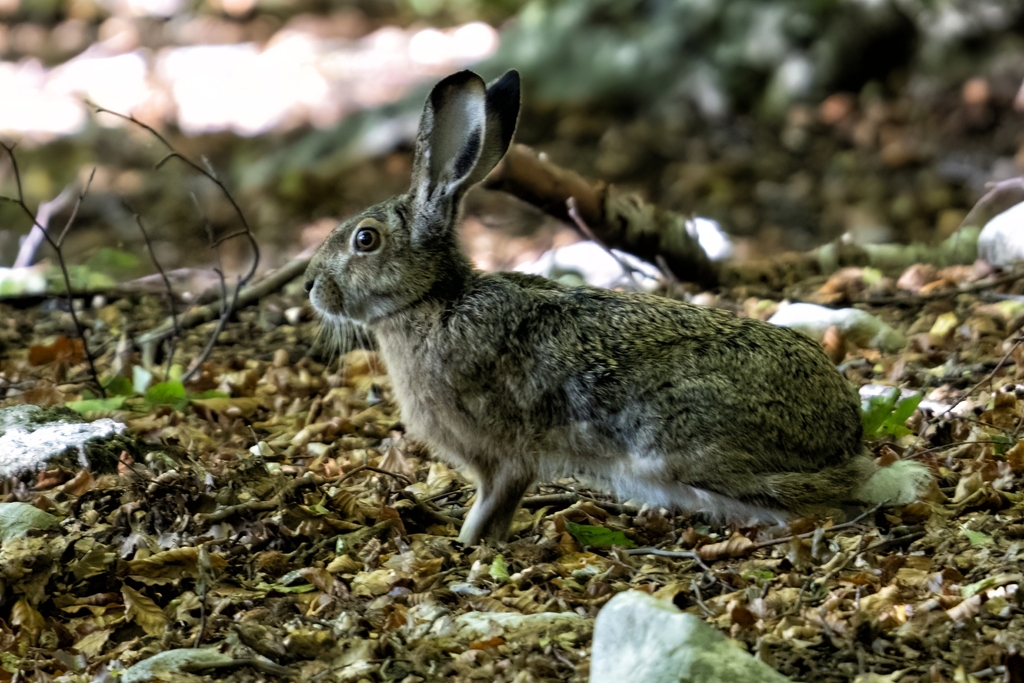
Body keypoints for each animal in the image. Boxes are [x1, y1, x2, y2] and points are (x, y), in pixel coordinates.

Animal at [304, 69, 931, 546]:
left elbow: (492, 503)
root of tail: (844, 433)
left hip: (686, 449)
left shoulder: (498, 455)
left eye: (365, 239)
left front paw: (466, 544)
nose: (310, 284)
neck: (433, 301)